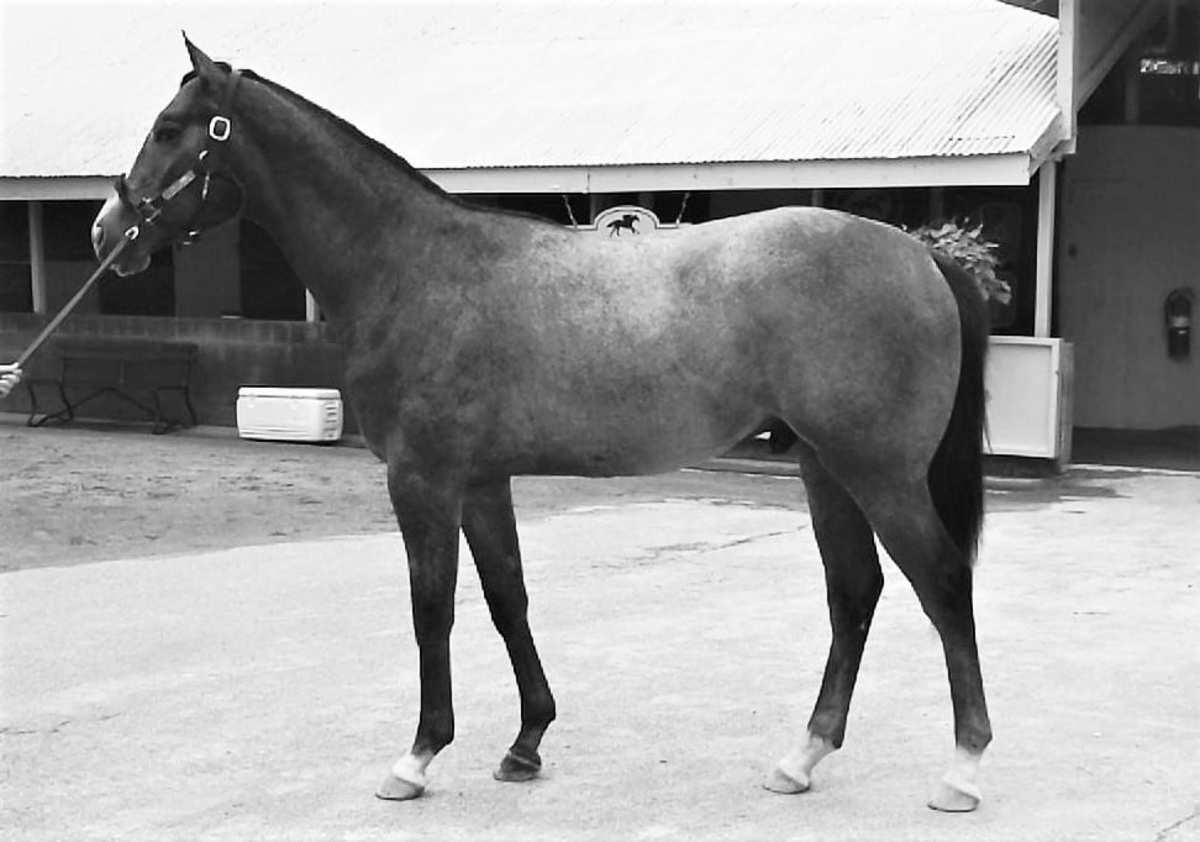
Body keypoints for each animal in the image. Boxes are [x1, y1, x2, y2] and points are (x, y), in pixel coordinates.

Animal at [91, 37, 992, 812]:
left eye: (169, 130)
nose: (107, 231)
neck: (410, 267)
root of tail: (922, 255)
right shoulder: (482, 481)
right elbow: (507, 600)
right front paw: (525, 744)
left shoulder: (423, 481)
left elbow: (433, 608)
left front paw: (417, 757)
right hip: (824, 469)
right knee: (855, 593)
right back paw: (801, 758)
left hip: (878, 474)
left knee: (943, 585)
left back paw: (962, 769)